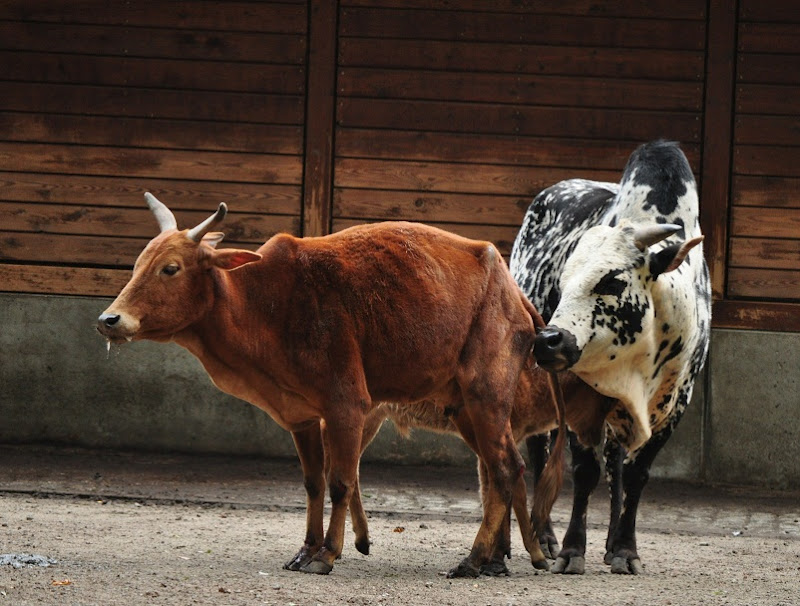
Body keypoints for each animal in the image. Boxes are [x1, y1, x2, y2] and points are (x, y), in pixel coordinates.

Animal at [96, 193, 565, 578]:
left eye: (170, 268)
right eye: (138, 264)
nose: (109, 319)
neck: (264, 303)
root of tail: (511, 289)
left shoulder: (347, 407)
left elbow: (341, 480)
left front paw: (327, 554)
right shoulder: (302, 417)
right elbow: (313, 483)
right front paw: (305, 550)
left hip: (486, 397)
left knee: (503, 469)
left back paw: (475, 559)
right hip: (466, 409)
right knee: (505, 470)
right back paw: (497, 559)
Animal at [509, 140, 711, 575]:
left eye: (612, 280)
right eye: (563, 280)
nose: (548, 340)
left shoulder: (675, 405)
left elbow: (635, 474)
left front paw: (624, 548)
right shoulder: (580, 392)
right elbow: (585, 471)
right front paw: (571, 550)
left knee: (616, 458)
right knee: (540, 448)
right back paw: (545, 537)